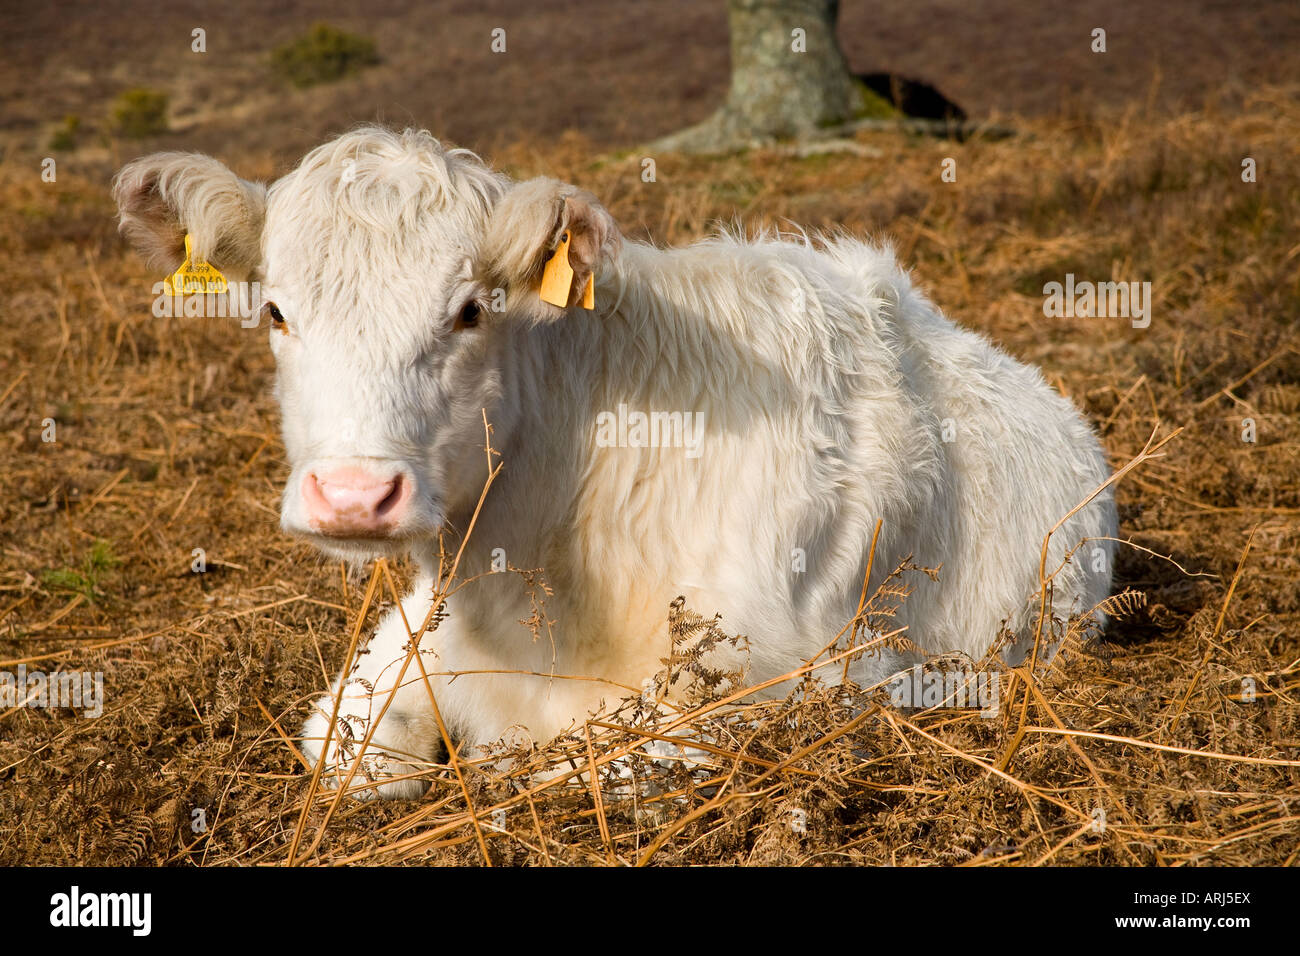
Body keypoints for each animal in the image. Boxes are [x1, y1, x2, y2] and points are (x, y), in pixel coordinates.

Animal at [113, 126, 1117, 798]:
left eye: (471, 310)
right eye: (275, 310)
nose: (355, 495)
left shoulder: (804, 685)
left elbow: (581, 769)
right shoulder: (411, 643)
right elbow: (347, 748)